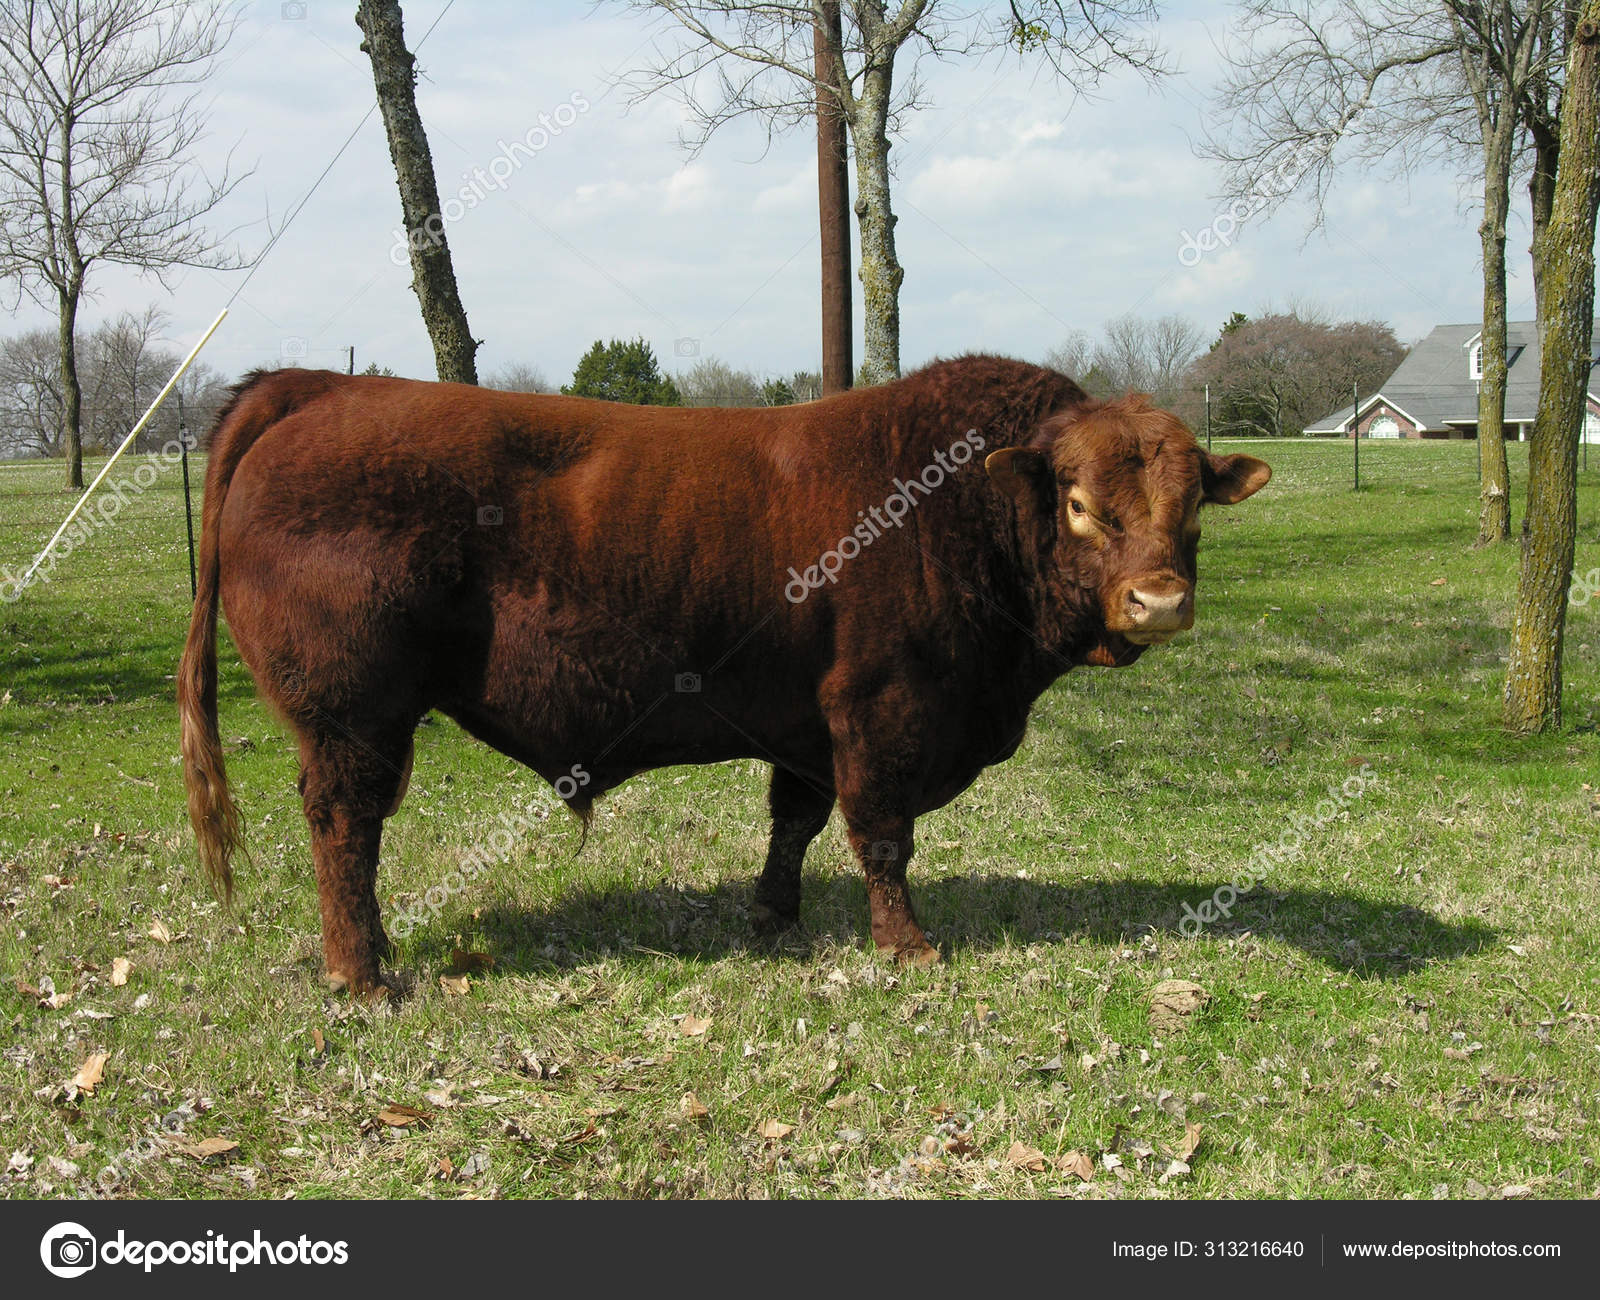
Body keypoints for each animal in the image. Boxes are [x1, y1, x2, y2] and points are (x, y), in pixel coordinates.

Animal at [178, 355, 1269, 995]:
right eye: (1080, 504)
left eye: (1193, 508)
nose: (1160, 601)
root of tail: (318, 386)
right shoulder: (882, 707)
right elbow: (883, 835)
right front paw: (906, 945)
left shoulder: (808, 722)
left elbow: (796, 820)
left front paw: (774, 920)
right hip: (351, 716)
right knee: (344, 828)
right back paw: (362, 974)